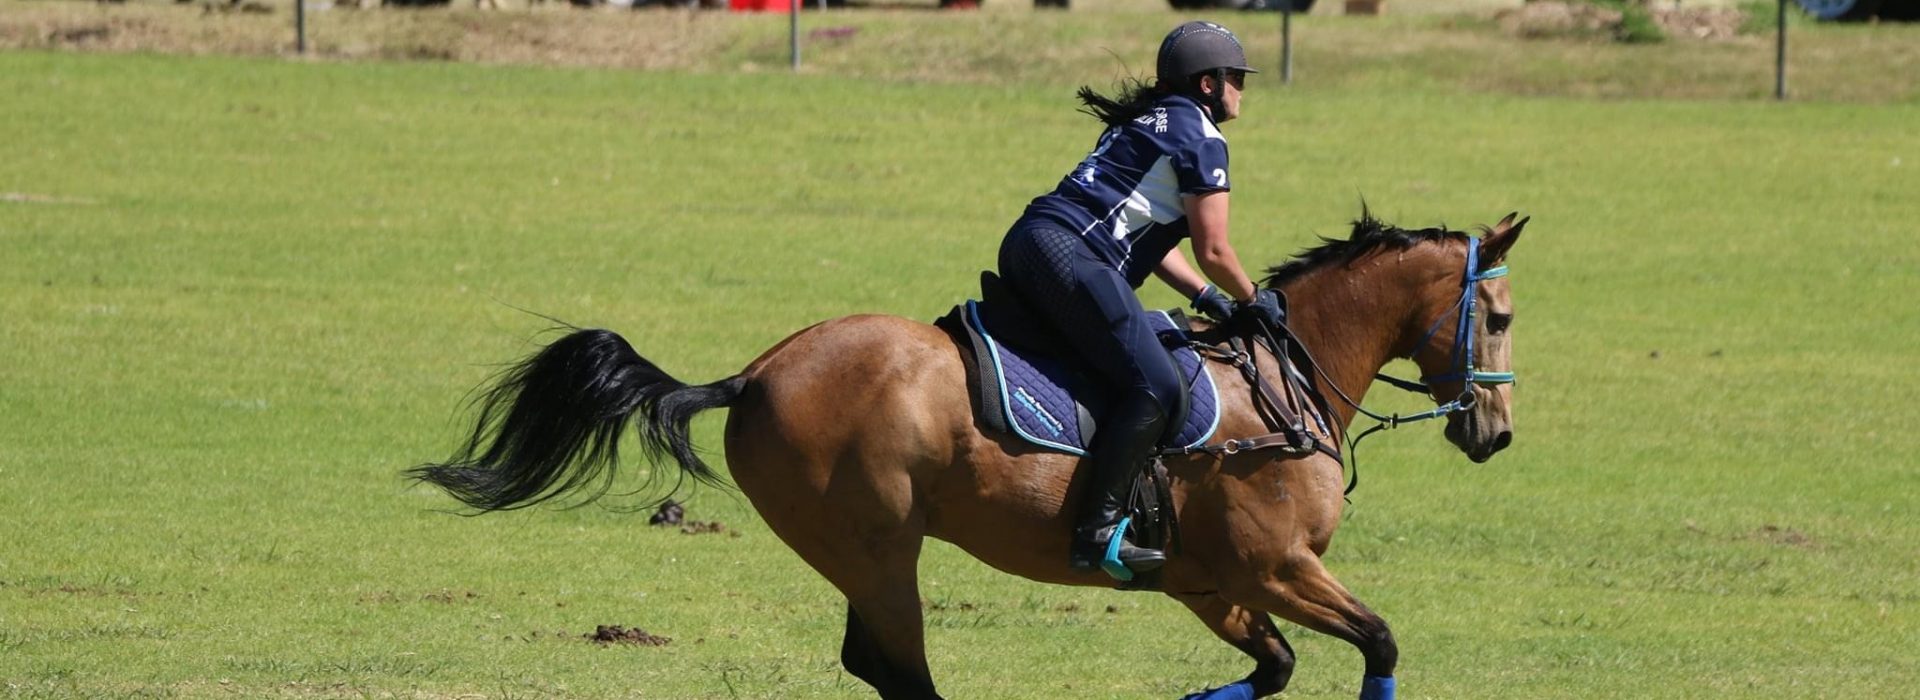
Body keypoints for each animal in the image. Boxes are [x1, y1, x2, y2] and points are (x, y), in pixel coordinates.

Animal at [408, 211, 1527, 699]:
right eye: (1505, 315)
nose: (1497, 432)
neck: (1284, 381)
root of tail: (756, 372)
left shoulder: (1209, 585)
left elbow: (1279, 666)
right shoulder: (1275, 567)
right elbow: (1377, 644)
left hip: (867, 555)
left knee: (878, 665)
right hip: (878, 547)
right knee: (896, 669)